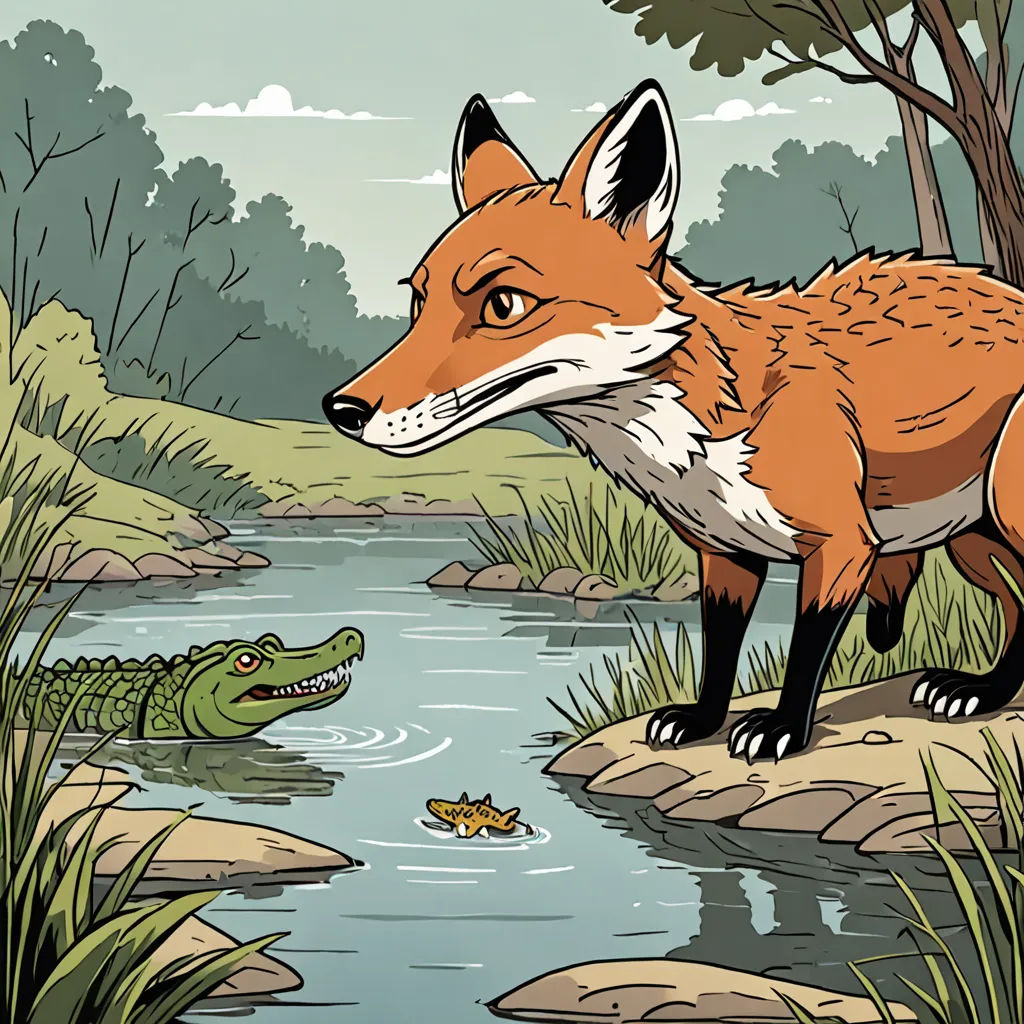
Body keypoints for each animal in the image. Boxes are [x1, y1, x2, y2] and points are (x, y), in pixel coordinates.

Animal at [323, 78, 1024, 764]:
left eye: (504, 304)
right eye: (418, 301)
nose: (342, 410)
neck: (699, 435)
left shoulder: (843, 546)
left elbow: (803, 654)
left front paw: (782, 729)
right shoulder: (725, 551)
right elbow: (719, 654)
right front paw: (702, 721)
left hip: (1000, 509)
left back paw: (982, 693)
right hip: (971, 538)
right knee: (1020, 607)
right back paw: (985, 690)